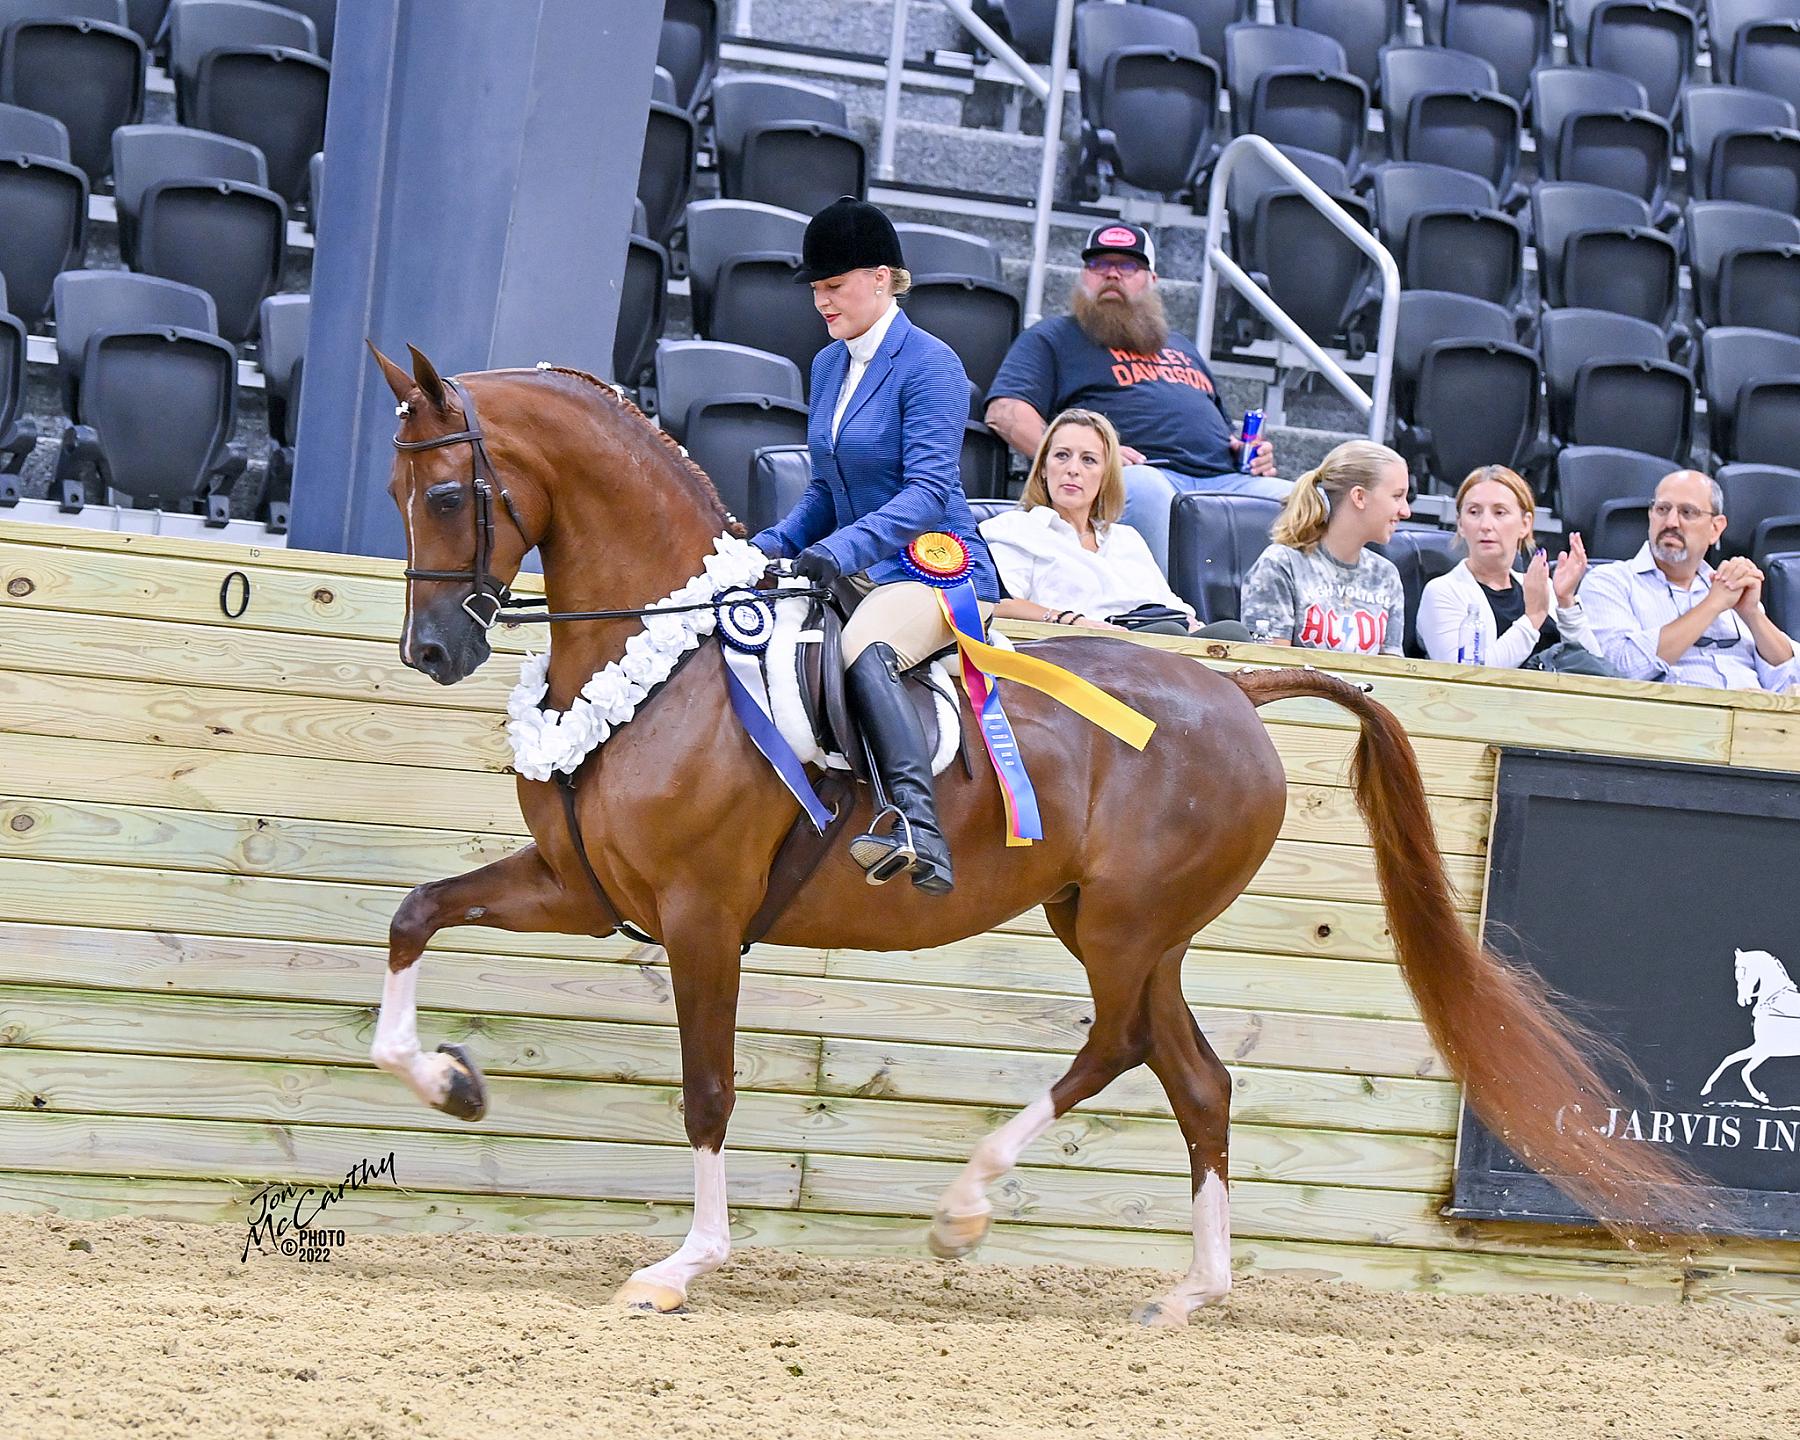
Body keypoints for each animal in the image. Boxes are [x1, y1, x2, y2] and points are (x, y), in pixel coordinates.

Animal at [365, 344, 1700, 1323]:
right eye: (393, 497)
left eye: (449, 495)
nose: (431, 652)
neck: (666, 652)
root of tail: (1237, 692)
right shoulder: (580, 886)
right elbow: (415, 914)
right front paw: (448, 1081)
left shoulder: (700, 918)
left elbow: (706, 1090)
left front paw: (682, 1268)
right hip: (1123, 925)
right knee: (1197, 1077)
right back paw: (1189, 1294)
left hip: (1123, 926)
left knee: (1120, 1047)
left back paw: (968, 1205)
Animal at [1702, 949, 1800, 1105]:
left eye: (1742, 975)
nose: (1741, 1001)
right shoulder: (1761, 1048)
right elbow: (1729, 1059)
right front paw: (1706, 1088)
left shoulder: (1764, 1049)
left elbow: (1744, 1071)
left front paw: (1760, 1097)